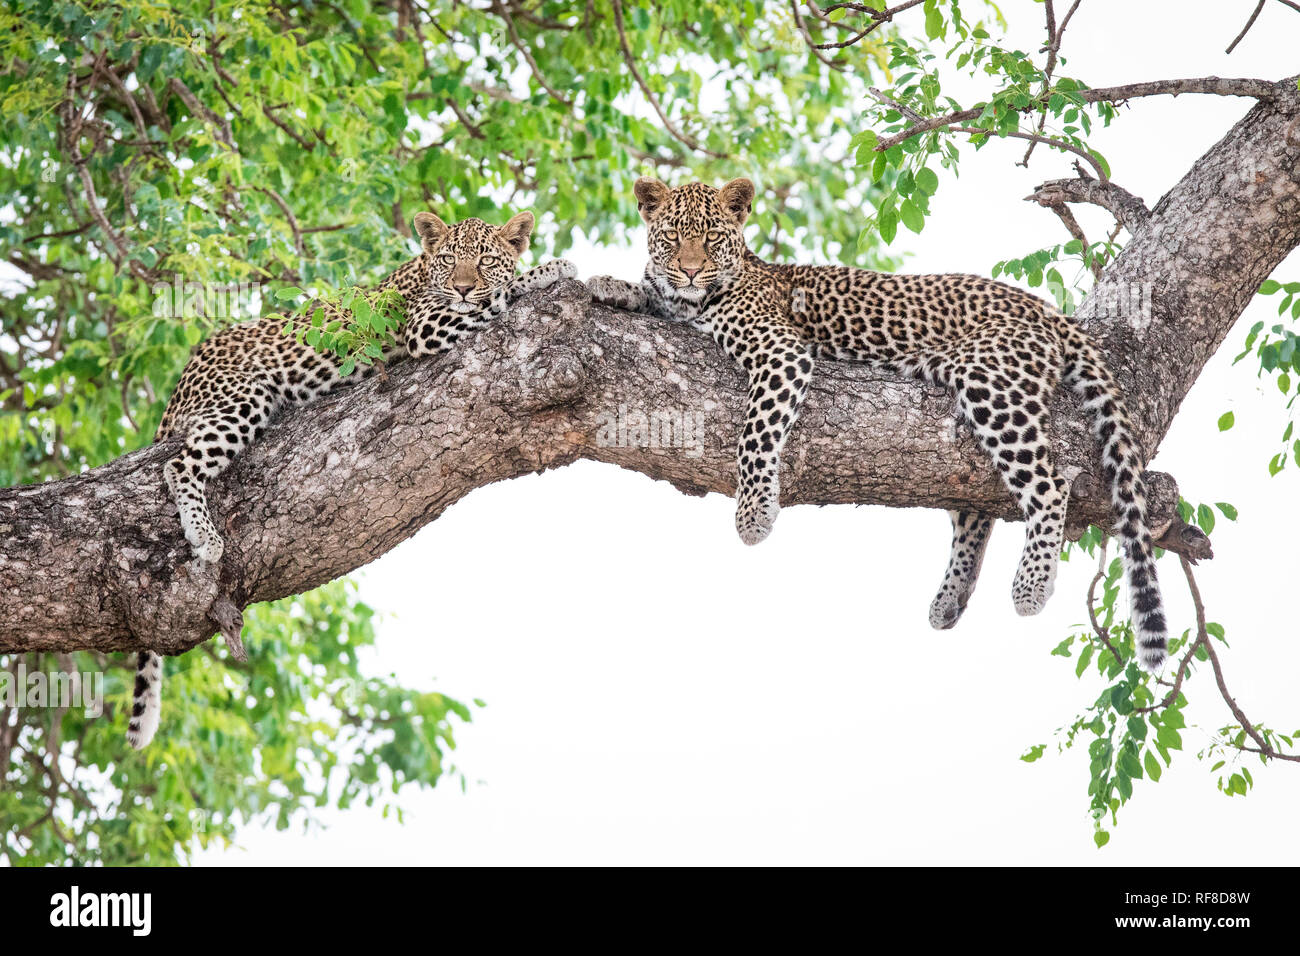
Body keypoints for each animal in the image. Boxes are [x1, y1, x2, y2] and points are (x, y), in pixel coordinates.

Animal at [128, 208, 576, 749]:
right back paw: (205, 537)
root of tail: (182, 380)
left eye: (486, 259)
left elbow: (498, 291)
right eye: (451, 260)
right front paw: (550, 269)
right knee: (178, 465)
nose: (465, 286)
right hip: (243, 396)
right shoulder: (426, 324)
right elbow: (501, 296)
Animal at [588, 177, 1168, 675]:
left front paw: (753, 514)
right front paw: (607, 284)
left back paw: (1031, 587)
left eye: (710, 237)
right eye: (670, 238)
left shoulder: (781, 352)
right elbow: (647, 293)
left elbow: (755, 433)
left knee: (1048, 486)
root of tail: (1050, 311)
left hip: (991, 384)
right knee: (976, 513)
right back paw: (950, 600)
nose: (688, 271)